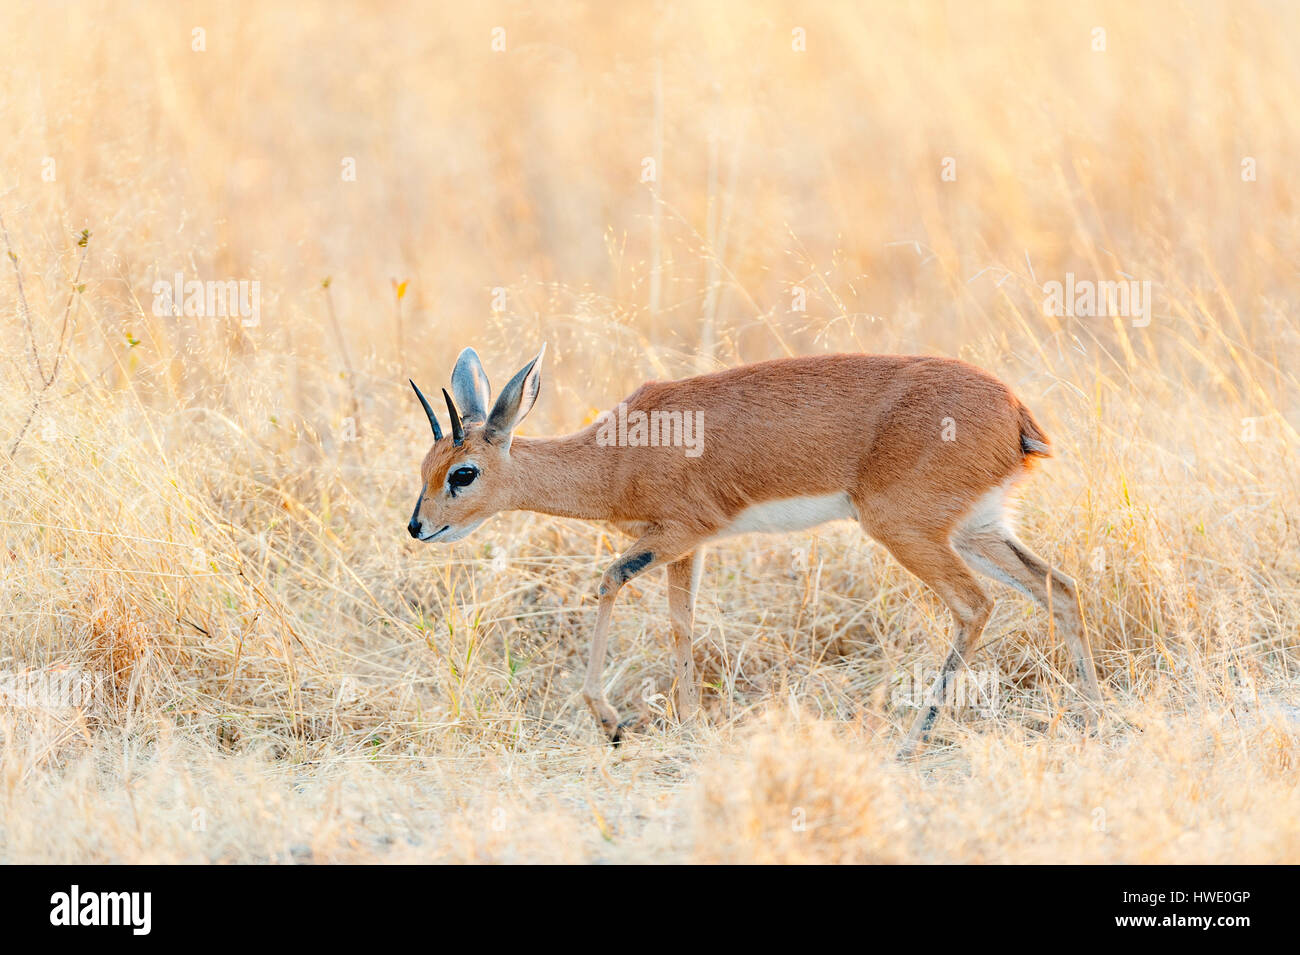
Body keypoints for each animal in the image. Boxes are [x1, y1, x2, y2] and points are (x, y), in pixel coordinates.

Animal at [407, 346, 1103, 755]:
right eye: (425, 468)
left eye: (463, 473)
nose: (417, 527)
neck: (619, 455)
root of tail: (1014, 413)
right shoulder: (687, 547)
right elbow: (682, 622)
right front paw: (691, 724)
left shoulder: (676, 535)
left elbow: (609, 581)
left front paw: (612, 722)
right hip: (978, 530)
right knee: (1059, 588)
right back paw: (1095, 721)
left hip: (909, 532)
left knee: (974, 605)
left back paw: (913, 740)